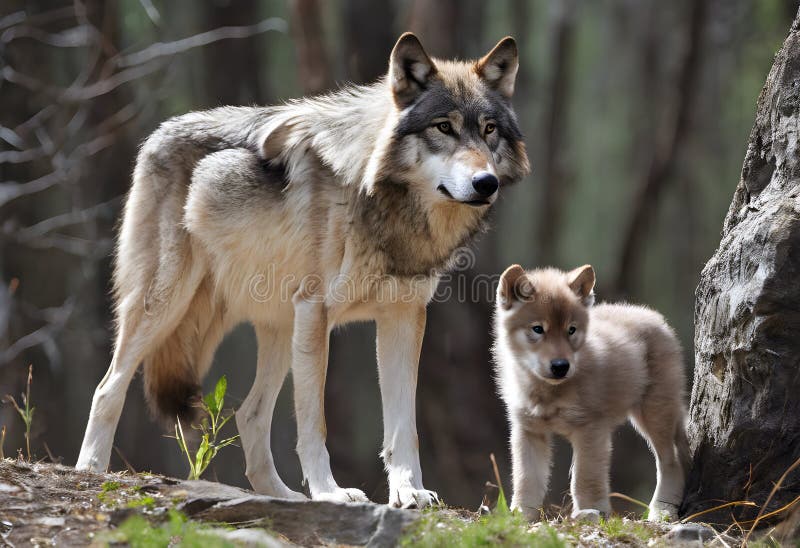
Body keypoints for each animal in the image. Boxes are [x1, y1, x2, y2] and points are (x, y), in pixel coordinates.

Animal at [75, 33, 530, 508]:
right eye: (443, 127)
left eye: (489, 130)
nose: (485, 184)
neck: (381, 201)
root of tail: (157, 133)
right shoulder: (316, 311)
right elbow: (315, 422)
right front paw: (331, 492)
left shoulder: (404, 316)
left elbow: (404, 426)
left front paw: (408, 491)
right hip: (165, 303)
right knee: (108, 387)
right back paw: (90, 469)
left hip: (276, 325)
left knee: (250, 413)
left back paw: (283, 495)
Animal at [493, 265, 689, 521]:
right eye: (537, 329)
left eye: (571, 330)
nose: (561, 366)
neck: (548, 392)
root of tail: (656, 318)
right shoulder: (529, 431)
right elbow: (527, 480)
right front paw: (521, 517)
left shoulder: (590, 429)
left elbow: (584, 478)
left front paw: (591, 512)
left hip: (654, 412)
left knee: (670, 461)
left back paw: (662, 509)